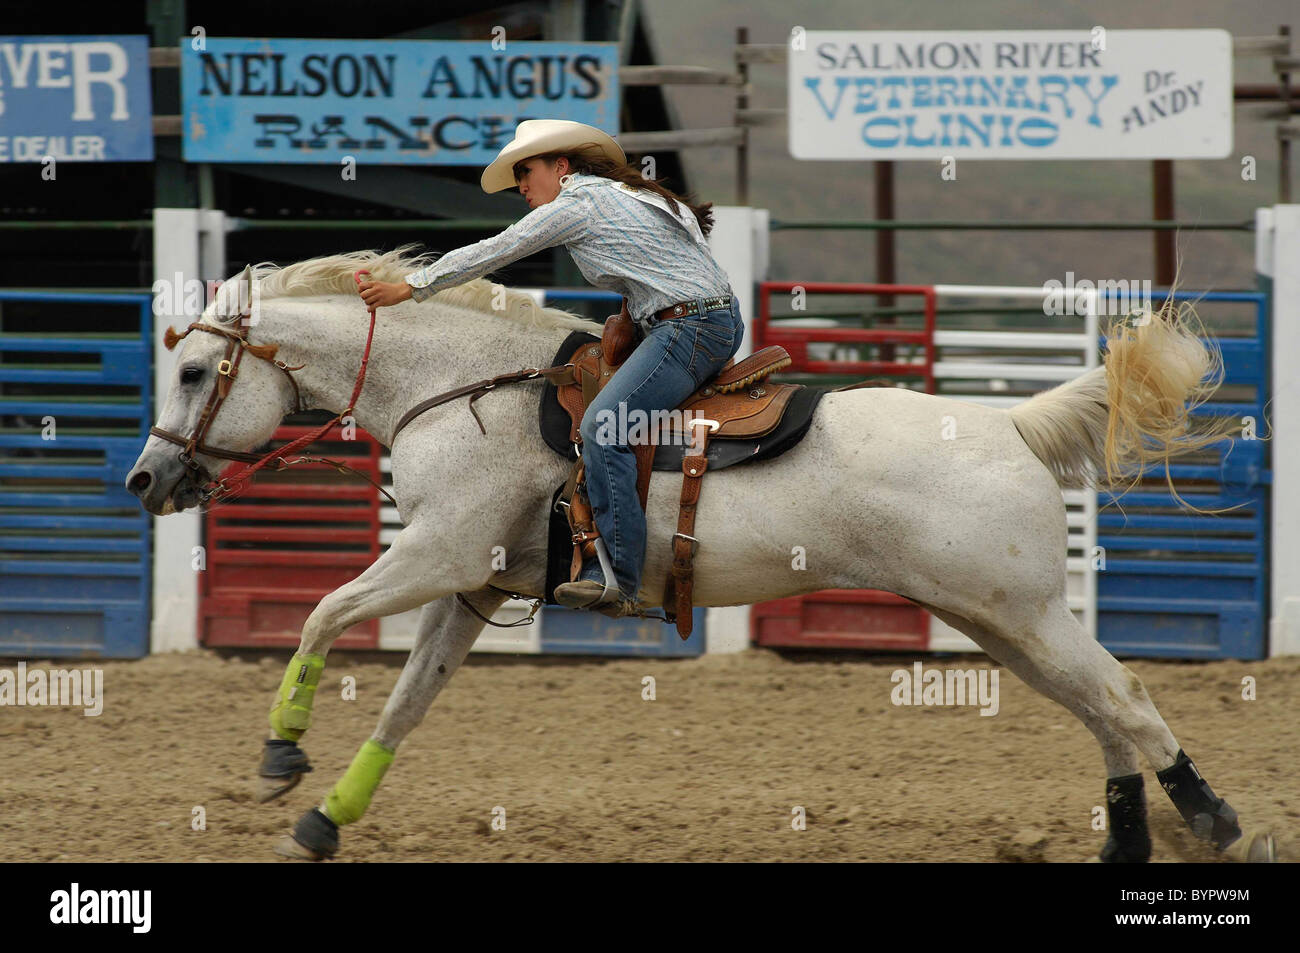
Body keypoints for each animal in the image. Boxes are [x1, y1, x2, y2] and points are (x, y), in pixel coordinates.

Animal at [125, 247, 1277, 862]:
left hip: (1022, 612)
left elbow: (321, 613)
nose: (144, 481)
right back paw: (1130, 836)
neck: (456, 389)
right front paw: (324, 818)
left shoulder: (434, 557)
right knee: (1103, 712)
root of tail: (1007, 423)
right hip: (1001, 622)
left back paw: (1221, 820)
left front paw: (280, 758)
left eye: (190, 371)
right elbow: (406, 706)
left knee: (1128, 701)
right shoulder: (469, 585)